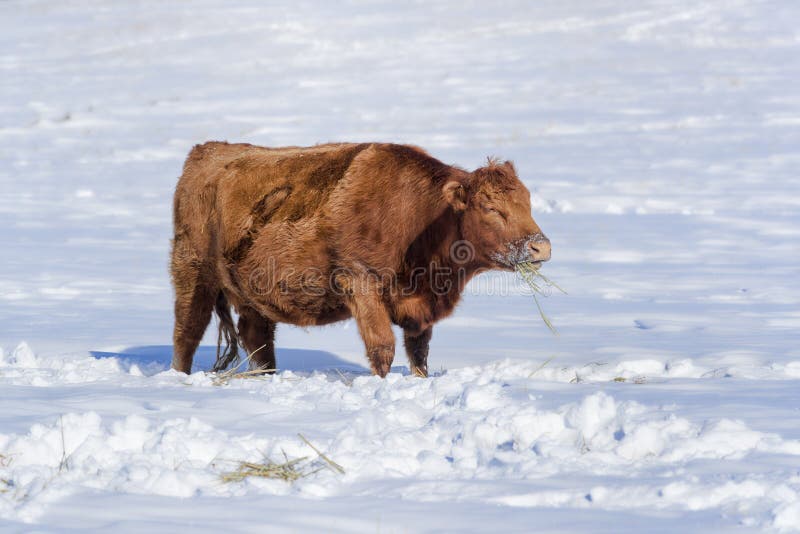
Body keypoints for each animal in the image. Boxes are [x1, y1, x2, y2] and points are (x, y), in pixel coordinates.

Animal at [170, 142, 551, 377]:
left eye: (528, 202)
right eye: (490, 208)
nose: (541, 248)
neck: (420, 213)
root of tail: (206, 152)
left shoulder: (419, 308)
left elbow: (419, 353)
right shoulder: (360, 284)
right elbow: (382, 347)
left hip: (251, 294)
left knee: (257, 337)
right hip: (193, 274)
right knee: (187, 331)